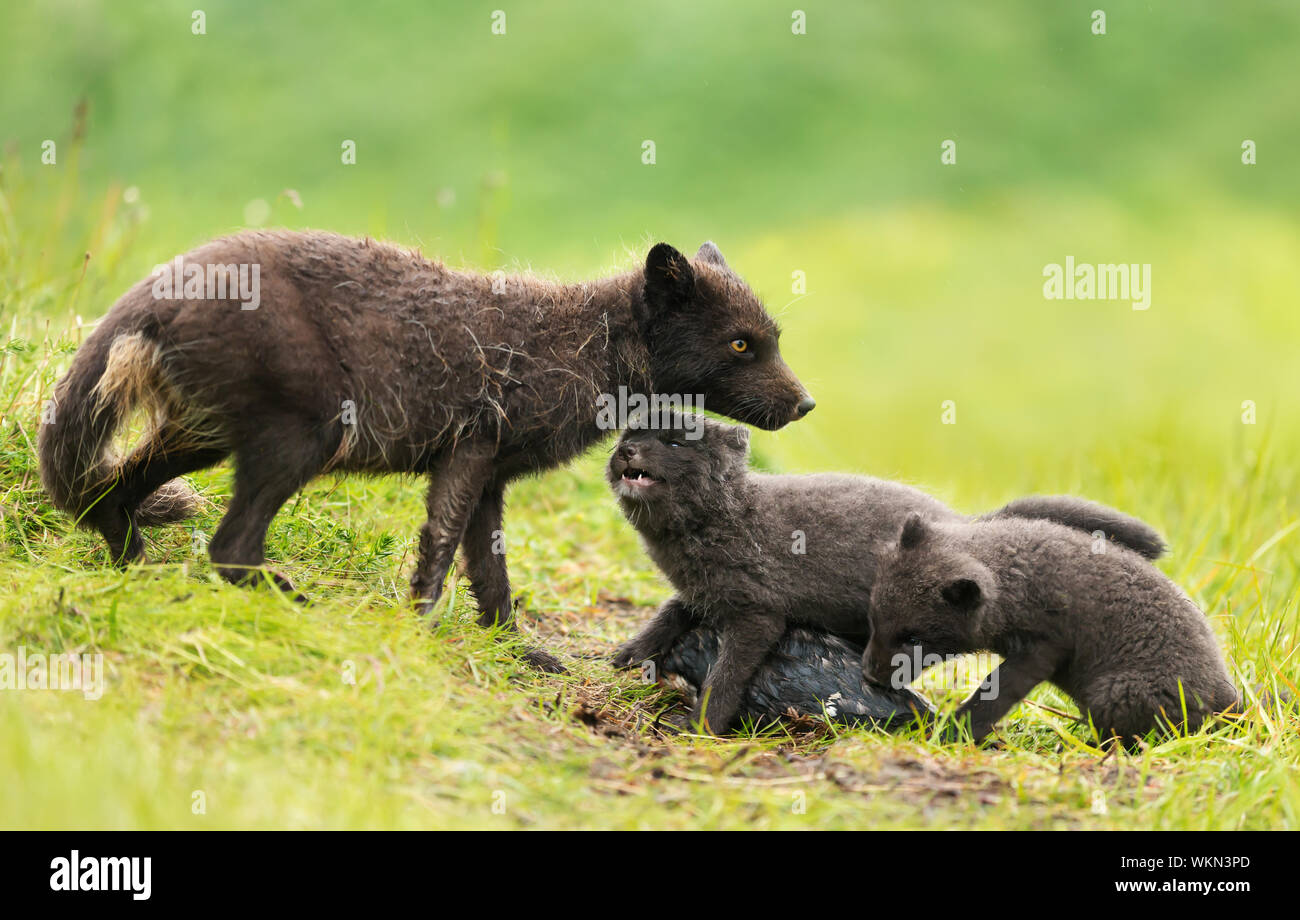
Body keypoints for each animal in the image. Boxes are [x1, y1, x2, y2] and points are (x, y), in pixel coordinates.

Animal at [38, 232, 813, 671]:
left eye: (773, 339)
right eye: (740, 344)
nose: (806, 404)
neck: (583, 345)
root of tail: (155, 285)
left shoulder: (492, 476)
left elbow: (492, 576)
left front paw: (516, 653)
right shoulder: (469, 450)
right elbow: (440, 552)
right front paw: (417, 632)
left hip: (203, 434)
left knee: (113, 487)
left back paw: (131, 568)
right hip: (302, 437)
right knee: (227, 545)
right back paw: (292, 601)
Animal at [606, 413, 1169, 732]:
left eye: (676, 442)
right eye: (629, 433)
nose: (626, 451)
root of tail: (967, 526)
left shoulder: (757, 612)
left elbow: (726, 674)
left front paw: (701, 725)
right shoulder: (703, 593)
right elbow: (668, 614)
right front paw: (626, 654)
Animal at [864, 513, 1240, 746]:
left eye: (914, 639)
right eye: (873, 619)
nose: (868, 676)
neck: (1017, 576)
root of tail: (1229, 696)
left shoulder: (1041, 650)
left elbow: (991, 696)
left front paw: (949, 736)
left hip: (1112, 693)